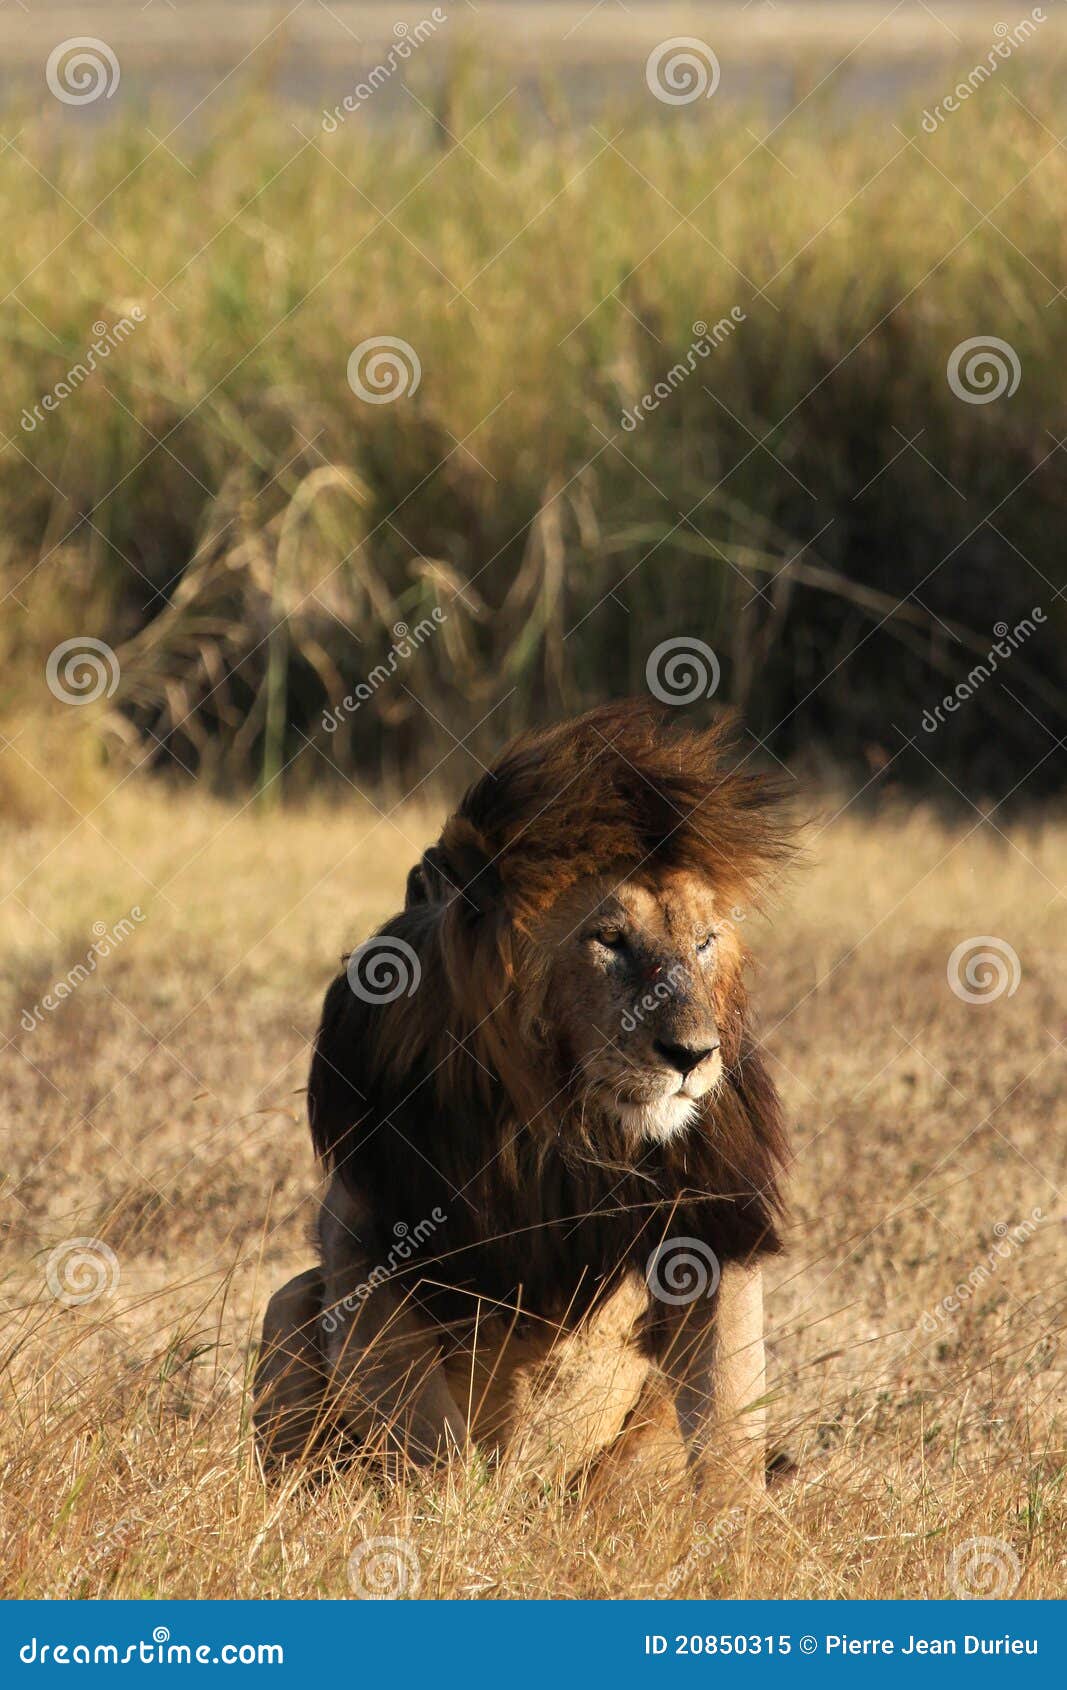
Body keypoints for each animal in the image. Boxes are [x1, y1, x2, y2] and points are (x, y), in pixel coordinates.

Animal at [254, 701, 791, 1500]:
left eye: (703, 943)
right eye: (609, 940)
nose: (694, 1056)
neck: (555, 1122)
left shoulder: (718, 1224)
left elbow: (727, 1421)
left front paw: (735, 1526)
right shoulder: (363, 1249)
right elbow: (429, 1440)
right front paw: (457, 1519)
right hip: (290, 1302)